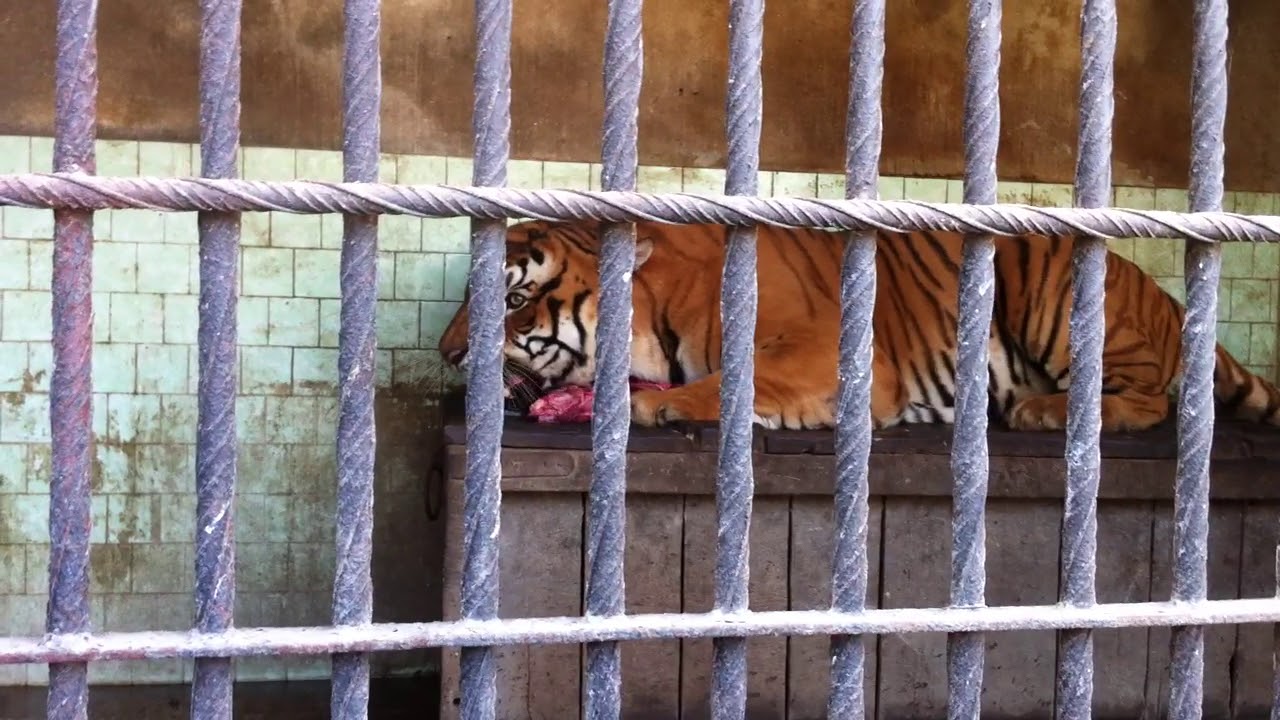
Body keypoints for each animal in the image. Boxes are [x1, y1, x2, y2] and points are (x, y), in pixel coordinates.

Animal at [436, 218, 1280, 432]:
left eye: (511, 301)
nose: (445, 355)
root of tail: (1166, 299)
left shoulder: (823, 349)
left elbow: (740, 377)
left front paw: (664, 405)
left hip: (1053, 286)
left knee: (1151, 401)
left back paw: (1044, 410)